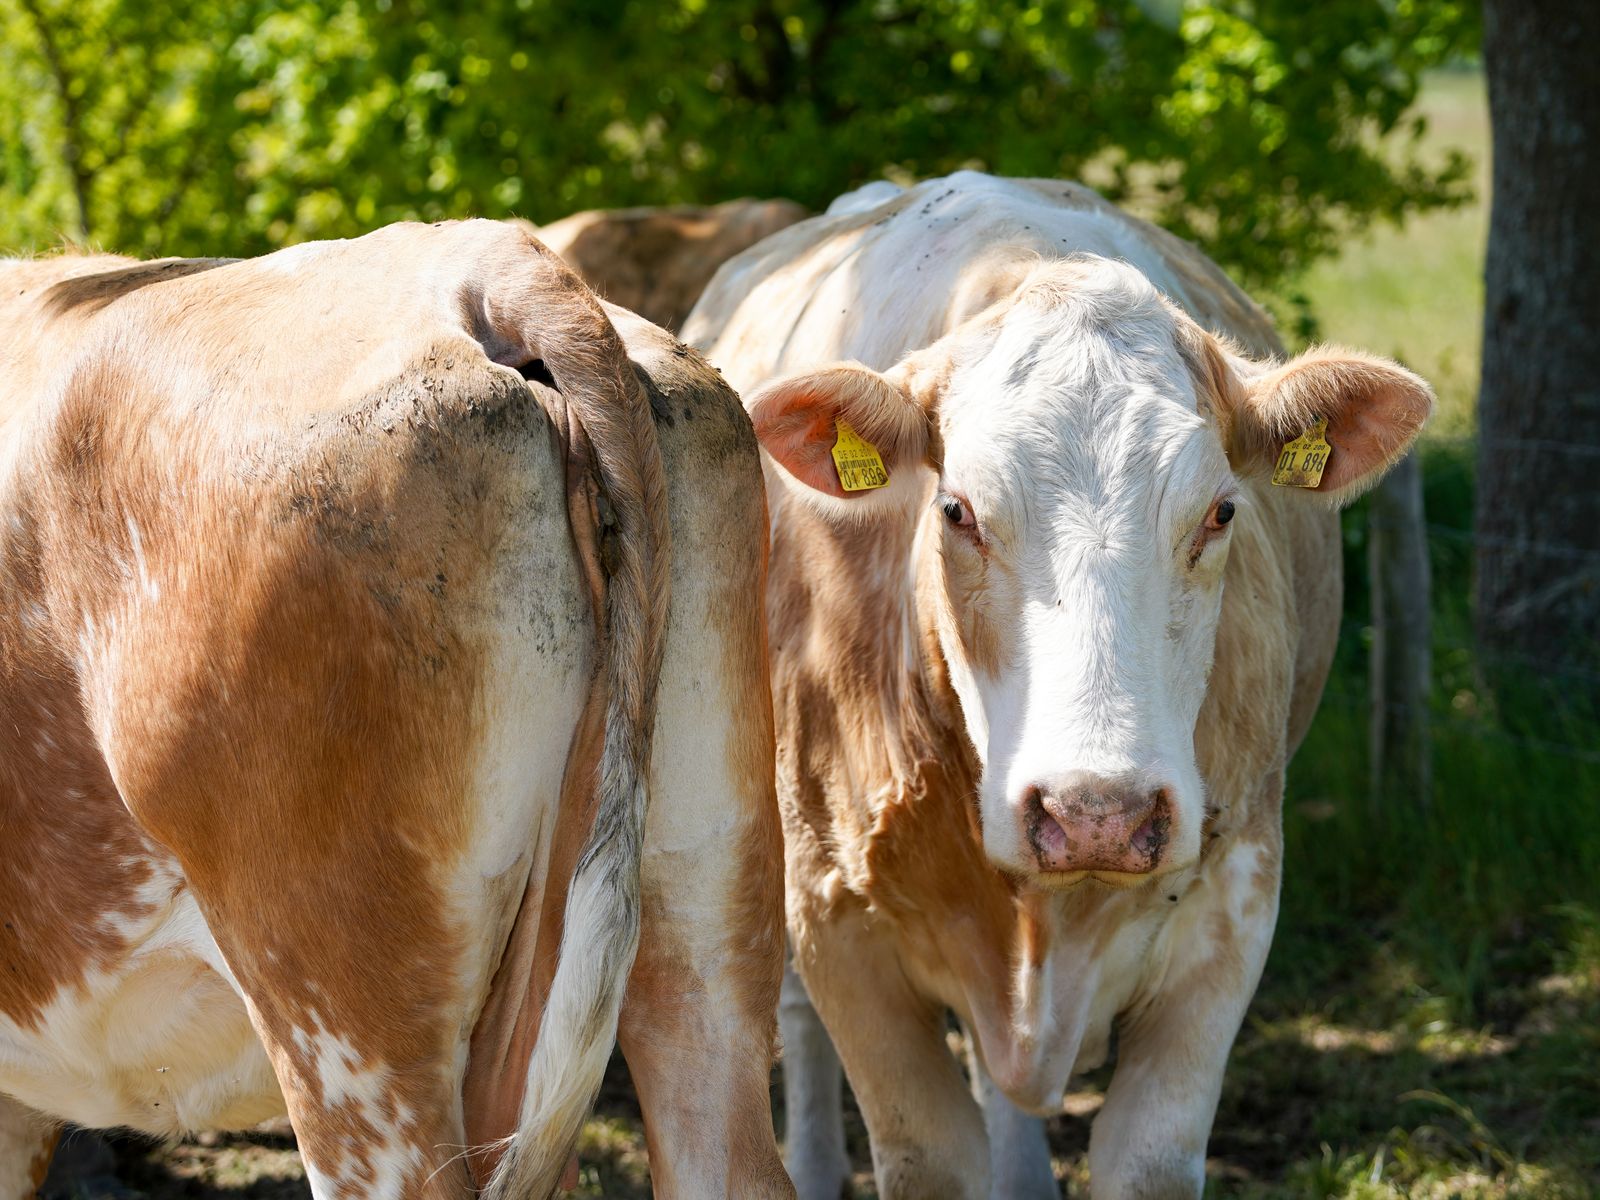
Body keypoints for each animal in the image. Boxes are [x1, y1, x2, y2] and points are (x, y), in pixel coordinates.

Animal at [682, 171, 1432, 1199]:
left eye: (1220, 512)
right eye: (956, 510)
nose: (1096, 814)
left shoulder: (1233, 910)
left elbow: (1146, 1158)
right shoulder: (837, 913)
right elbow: (926, 1151)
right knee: (794, 1018)